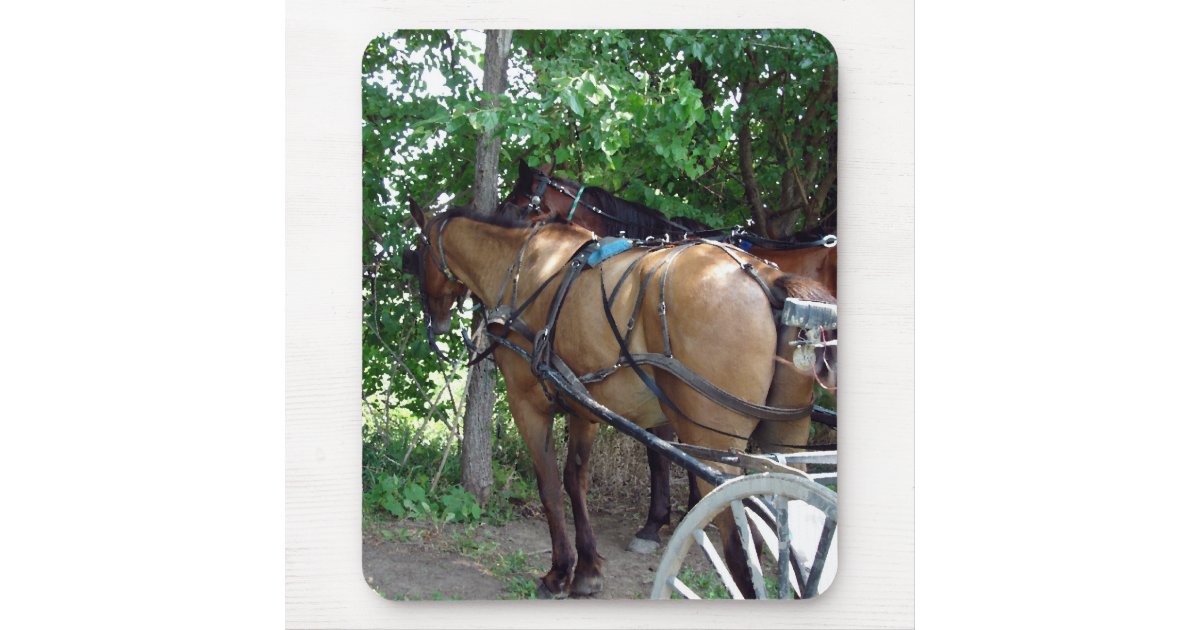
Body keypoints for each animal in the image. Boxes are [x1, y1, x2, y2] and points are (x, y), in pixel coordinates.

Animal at [406, 204, 835, 598]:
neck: (523, 267)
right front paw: (587, 570)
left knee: (742, 545)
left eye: (417, 251)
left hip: (716, 446)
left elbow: (549, 485)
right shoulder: (581, 406)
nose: (436, 322)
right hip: (785, 439)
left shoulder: (527, 403)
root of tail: (768, 277)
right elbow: (574, 480)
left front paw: (559, 573)